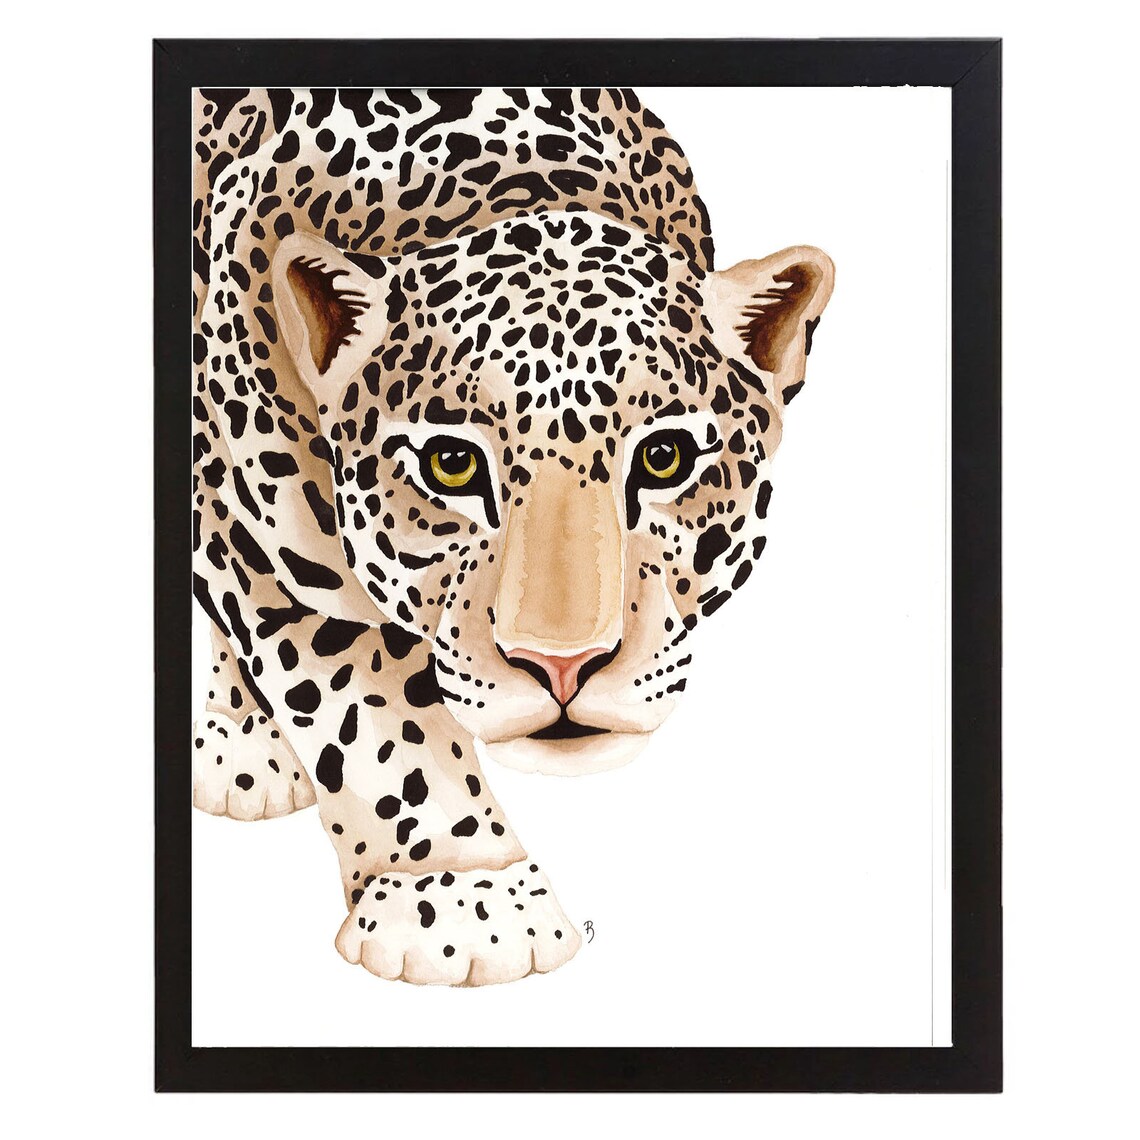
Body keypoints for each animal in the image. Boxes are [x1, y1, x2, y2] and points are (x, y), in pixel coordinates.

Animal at [192, 86, 834, 986]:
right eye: (452, 465)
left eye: (664, 457)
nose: (563, 666)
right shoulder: (255, 523)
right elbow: (370, 720)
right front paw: (463, 903)